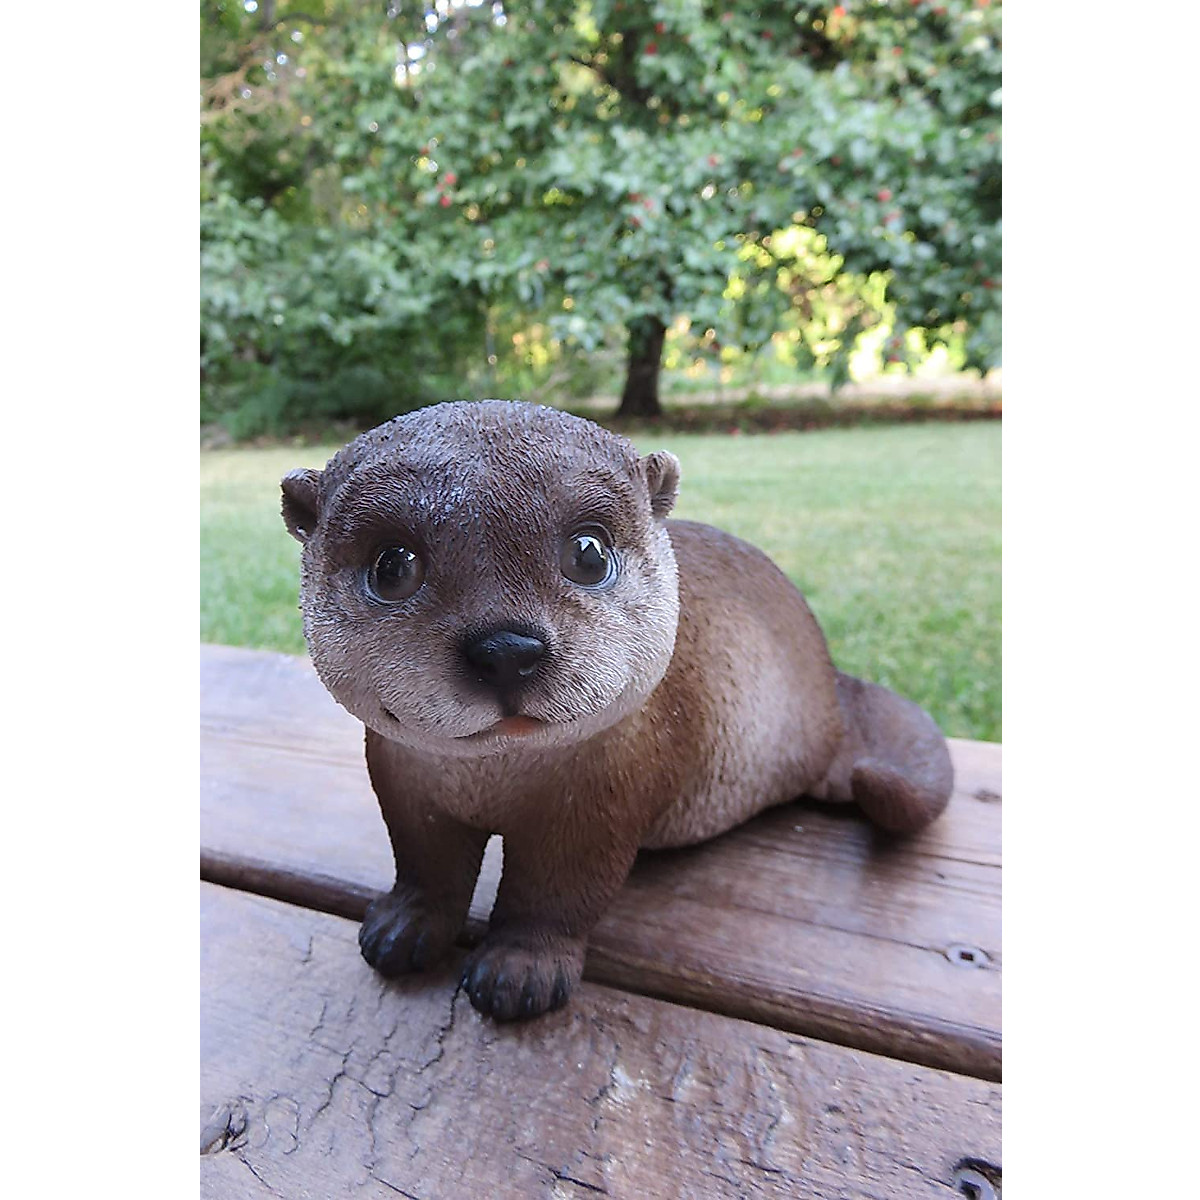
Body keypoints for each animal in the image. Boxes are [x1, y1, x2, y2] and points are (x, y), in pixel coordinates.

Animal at [281, 400, 953, 1022]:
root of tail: (833, 687)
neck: (492, 783)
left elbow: (558, 891)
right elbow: (426, 865)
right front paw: (404, 925)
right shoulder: (405, 785)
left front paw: (521, 969)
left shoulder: (603, 803)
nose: (507, 650)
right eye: (392, 566)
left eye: (588, 553)